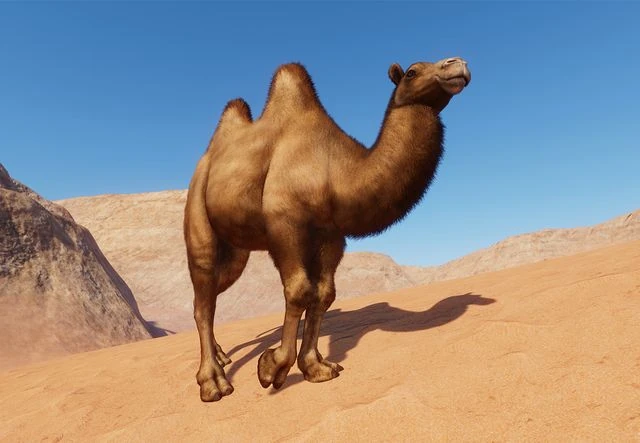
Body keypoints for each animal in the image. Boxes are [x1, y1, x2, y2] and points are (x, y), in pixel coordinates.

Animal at [184, 56, 471, 401]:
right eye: (413, 71)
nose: (458, 64)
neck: (337, 171)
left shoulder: (331, 236)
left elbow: (324, 294)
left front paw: (316, 368)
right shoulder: (285, 222)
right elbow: (299, 291)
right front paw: (271, 368)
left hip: (237, 247)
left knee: (213, 290)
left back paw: (222, 355)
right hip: (198, 212)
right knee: (203, 297)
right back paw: (213, 383)